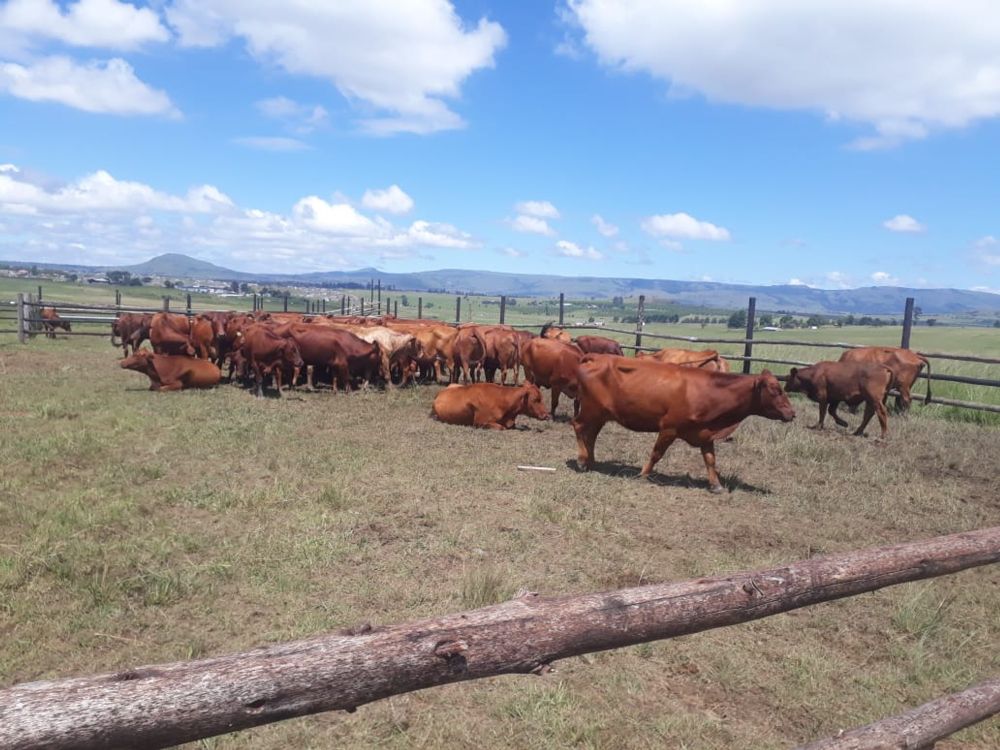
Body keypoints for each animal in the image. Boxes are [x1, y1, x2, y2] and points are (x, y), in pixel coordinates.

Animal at [572, 355, 795, 493]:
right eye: (775, 390)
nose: (792, 413)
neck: (708, 391)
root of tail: (596, 357)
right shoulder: (669, 428)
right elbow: (656, 453)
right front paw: (643, 474)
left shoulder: (705, 433)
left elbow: (710, 460)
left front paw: (716, 485)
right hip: (591, 410)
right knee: (578, 426)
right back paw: (582, 460)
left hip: (600, 415)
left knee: (591, 435)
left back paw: (591, 461)